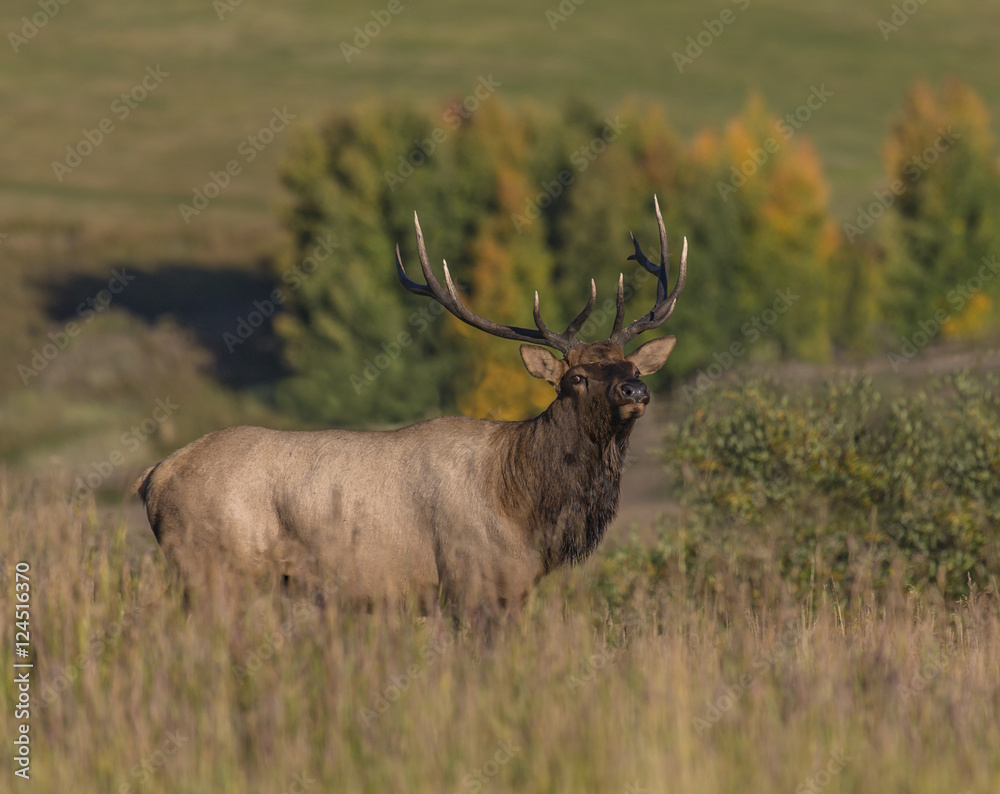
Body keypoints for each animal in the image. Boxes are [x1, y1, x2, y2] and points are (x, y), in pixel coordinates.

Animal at [134, 197, 687, 621]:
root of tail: (152, 476)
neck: (526, 511)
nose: (635, 393)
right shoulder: (471, 581)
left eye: (633, 369)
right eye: (576, 378)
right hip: (212, 570)